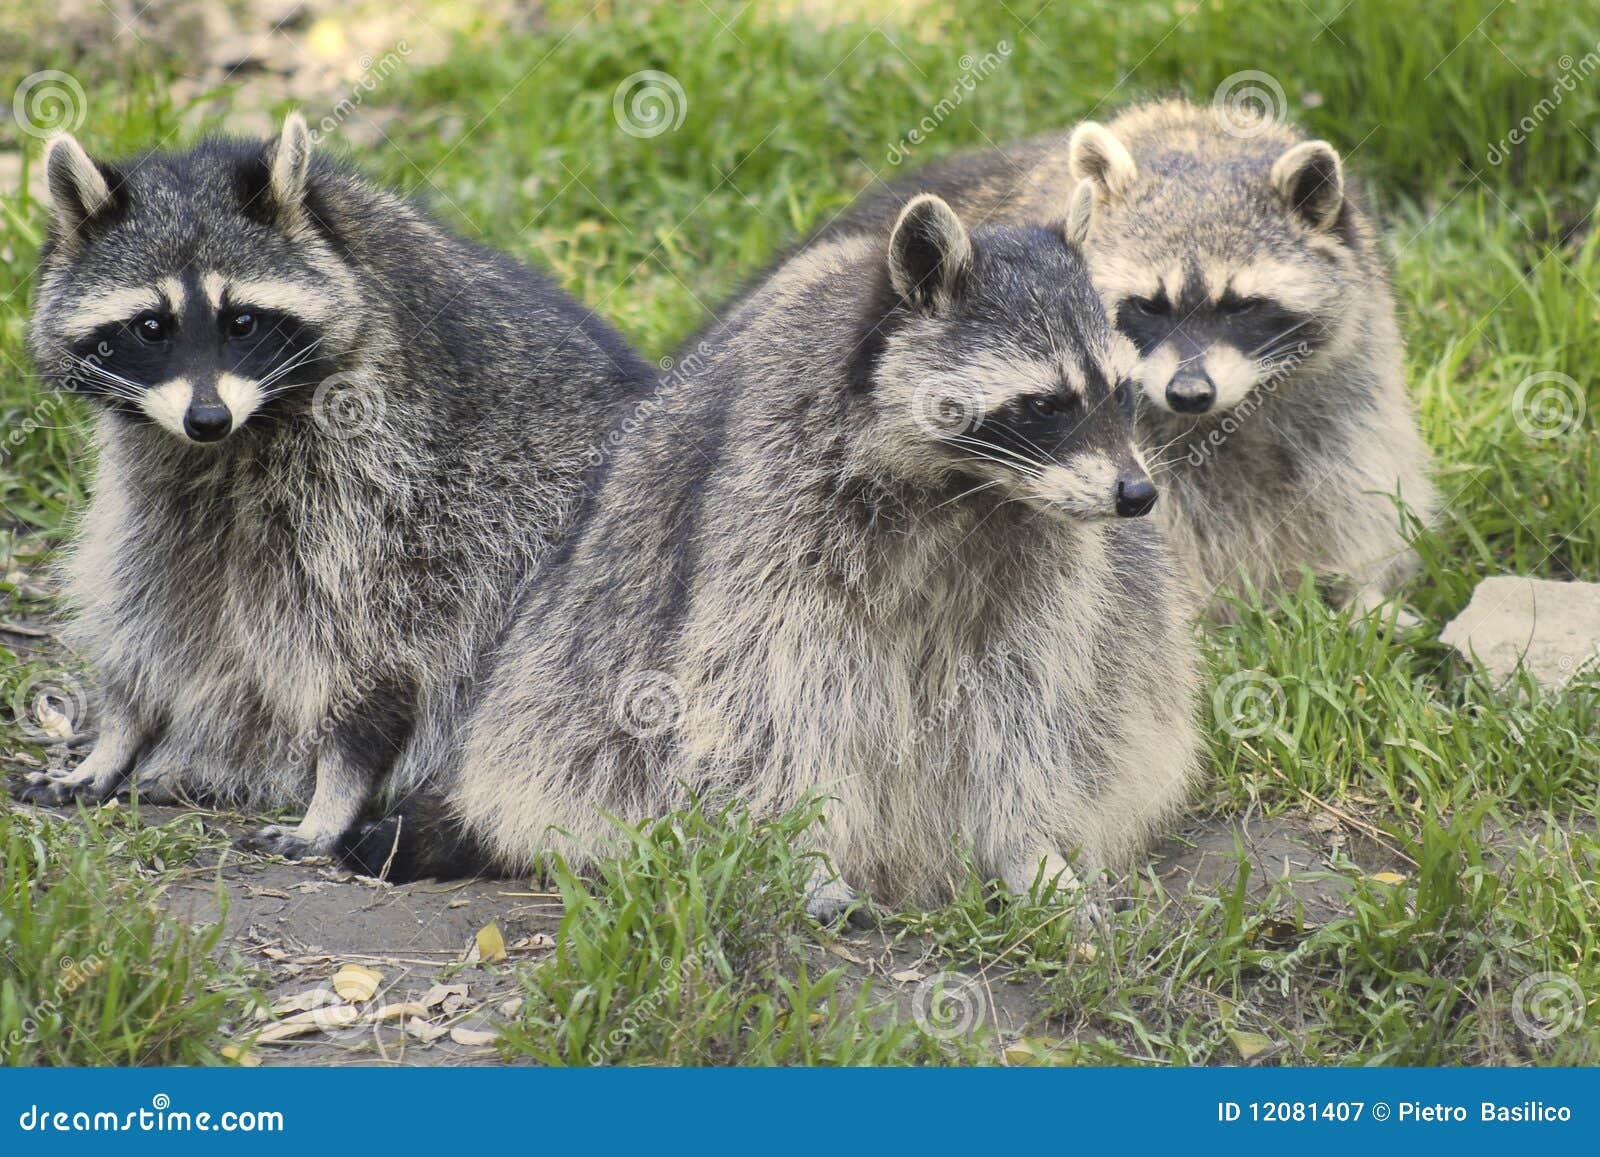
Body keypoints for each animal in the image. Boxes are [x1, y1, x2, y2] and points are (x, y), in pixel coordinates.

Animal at [18, 114, 657, 858]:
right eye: (151, 326)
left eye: (243, 322)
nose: (207, 418)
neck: (237, 439)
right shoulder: (158, 469)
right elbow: (149, 594)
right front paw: (118, 732)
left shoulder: (394, 471)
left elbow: (374, 646)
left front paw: (337, 789)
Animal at [345, 194, 1203, 915]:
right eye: (1046, 404)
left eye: (1122, 391)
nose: (1136, 495)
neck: (965, 487)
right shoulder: (774, 508)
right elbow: (770, 696)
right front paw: (805, 848)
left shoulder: (1045, 556)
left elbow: (1023, 699)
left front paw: (1022, 839)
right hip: (563, 676)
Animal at [794, 100, 1438, 619]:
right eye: (1149, 305)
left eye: (1241, 305)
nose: (1189, 393)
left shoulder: (1349, 366)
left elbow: (1353, 471)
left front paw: (1362, 587)